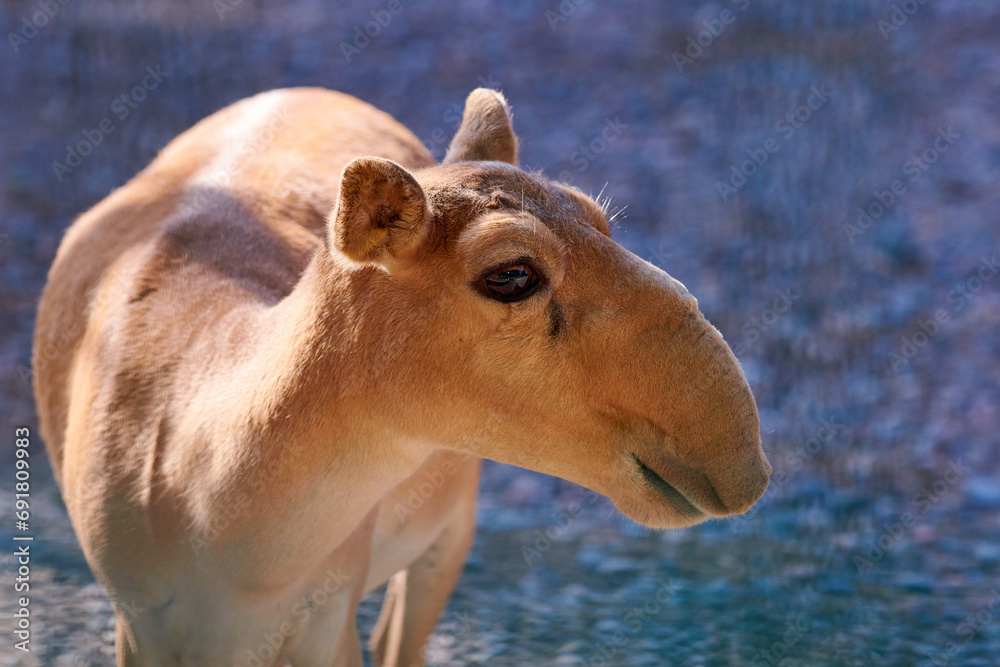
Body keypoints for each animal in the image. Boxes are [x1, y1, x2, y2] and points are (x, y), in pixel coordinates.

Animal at [33, 86, 771, 666]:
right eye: (512, 273)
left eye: (597, 215)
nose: (739, 463)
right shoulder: (139, 626)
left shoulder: (327, 617)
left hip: (452, 525)